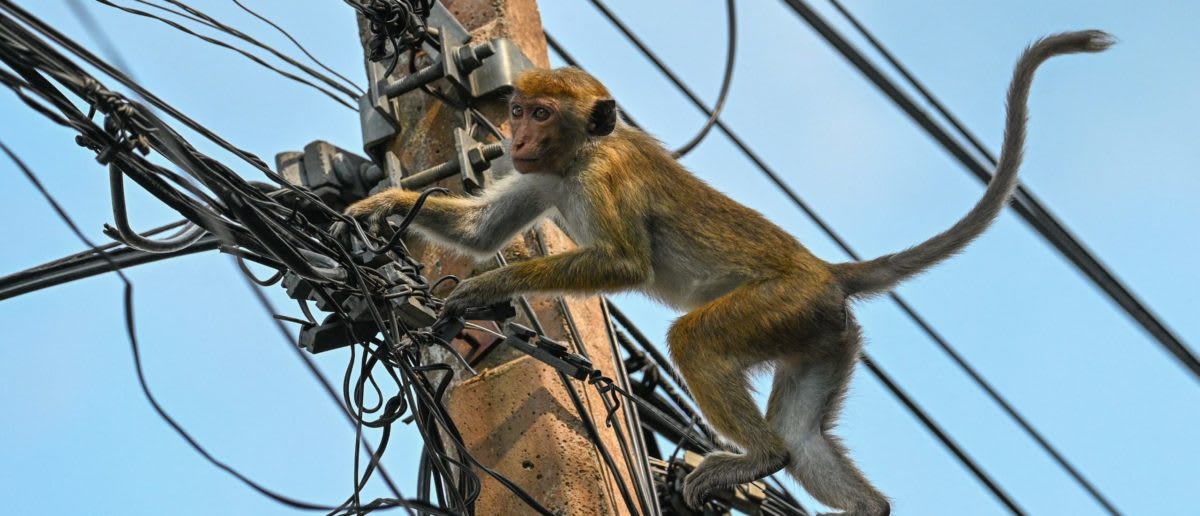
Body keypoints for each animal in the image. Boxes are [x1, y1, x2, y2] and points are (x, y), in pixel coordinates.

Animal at [341, 30, 1112, 515]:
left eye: (538, 112)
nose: (519, 136)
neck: (581, 154)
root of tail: (826, 271)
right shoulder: (542, 177)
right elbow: (481, 231)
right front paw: (378, 207)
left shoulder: (602, 179)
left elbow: (622, 262)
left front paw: (482, 289)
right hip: (822, 335)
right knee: (806, 439)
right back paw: (860, 503)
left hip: (782, 303)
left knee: (698, 343)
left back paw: (758, 457)